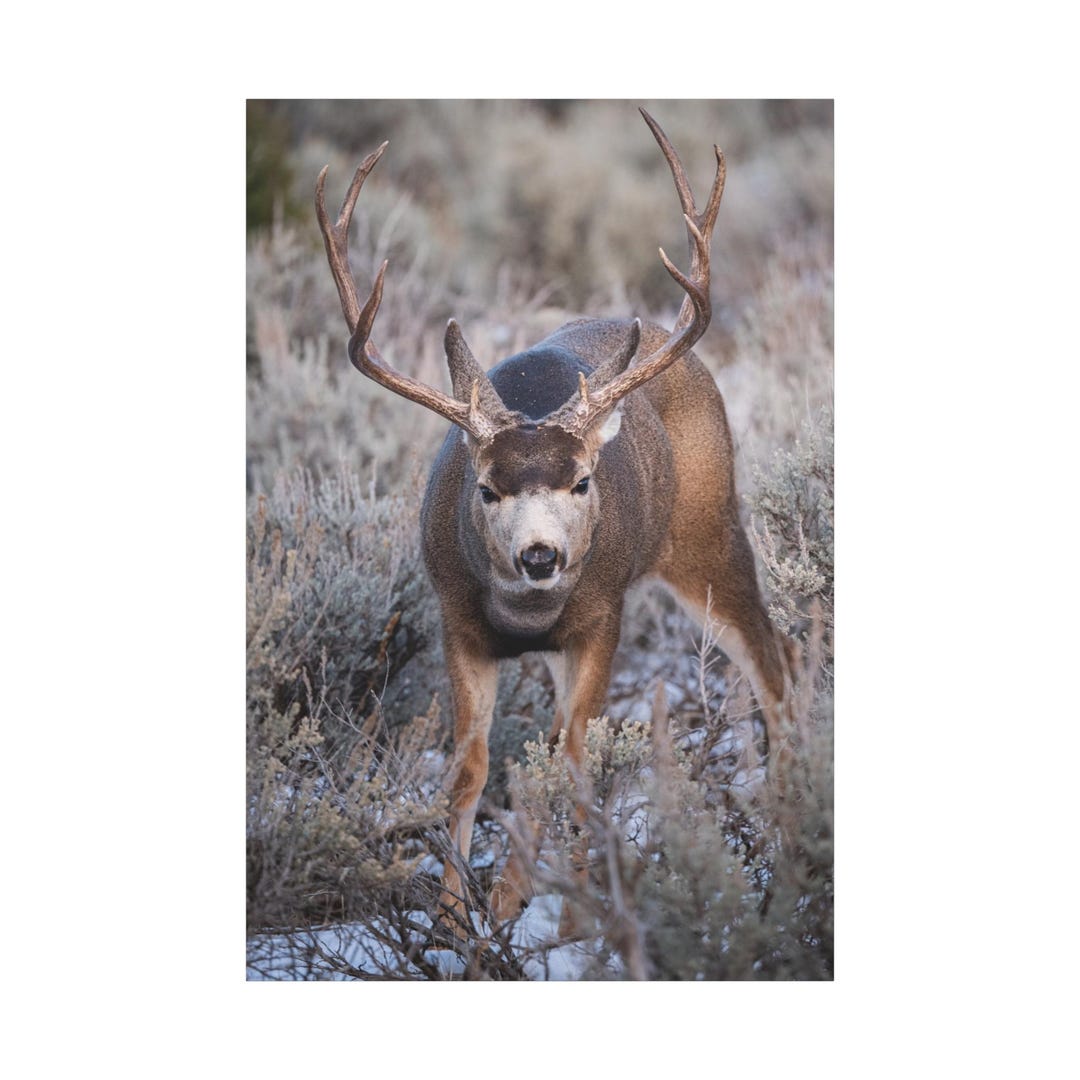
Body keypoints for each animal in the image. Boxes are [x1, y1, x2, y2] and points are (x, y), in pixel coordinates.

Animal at [315, 108, 795, 931]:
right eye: (484, 490)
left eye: (581, 481)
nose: (540, 556)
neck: (526, 616)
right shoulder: (456, 619)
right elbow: (471, 768)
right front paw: (456, 917)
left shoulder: (602, 615)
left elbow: (572, 756)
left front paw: (558, 916)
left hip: (707, 531)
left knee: (773, 663)